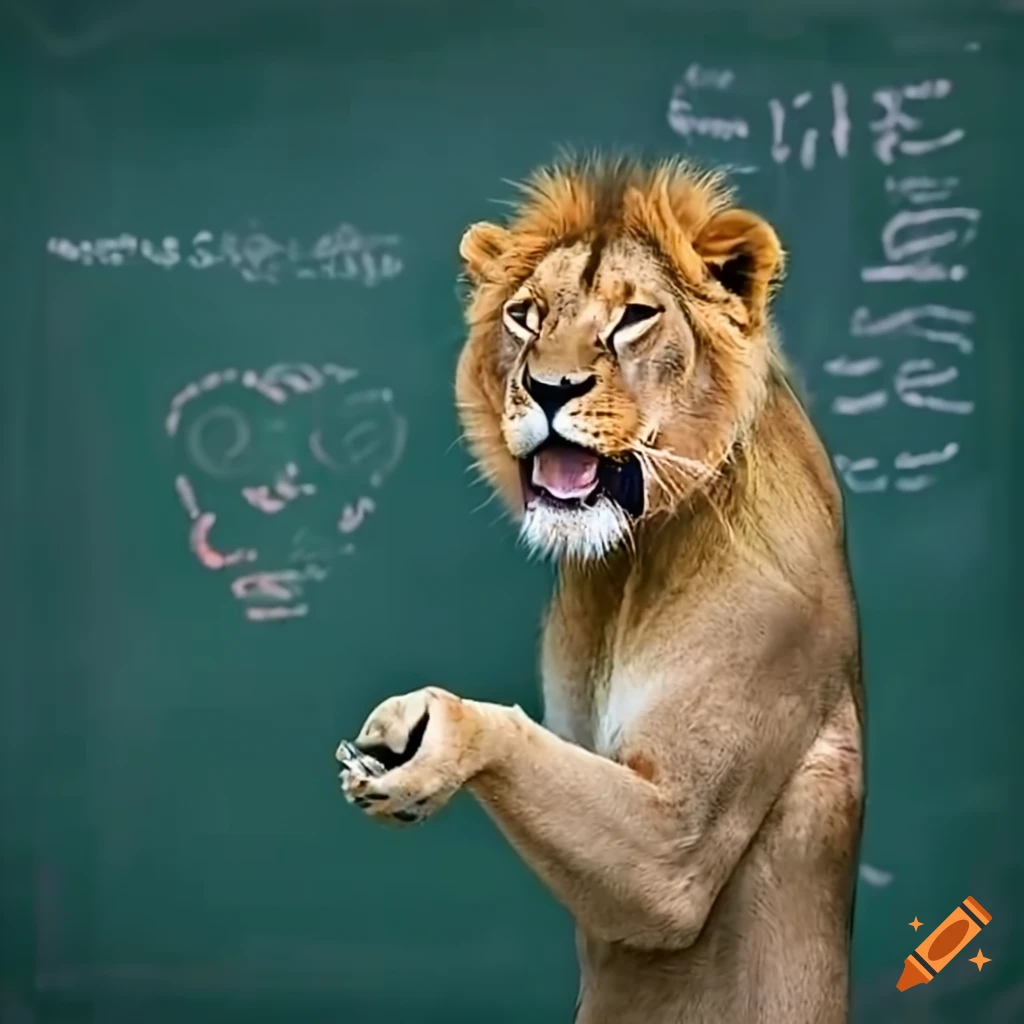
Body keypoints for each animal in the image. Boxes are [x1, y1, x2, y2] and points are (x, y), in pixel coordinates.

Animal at [336, 155, 865, 1024]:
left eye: (635, 319)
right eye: (525, 316)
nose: (551, 388)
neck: (628, 563)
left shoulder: (673, 849)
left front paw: (432, 737)